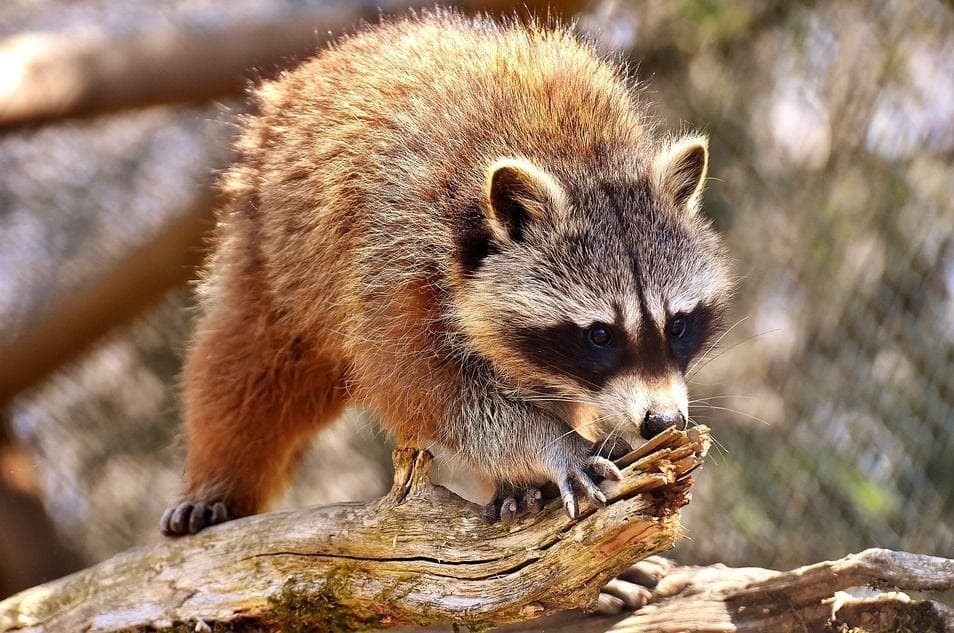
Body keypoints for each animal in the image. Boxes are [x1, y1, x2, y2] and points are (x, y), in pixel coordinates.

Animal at [160, 12, 733, 536]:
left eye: (677, 325)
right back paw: (218, 478)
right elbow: (429, 389)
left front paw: (537, 458)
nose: (663, 422)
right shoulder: (395, 251)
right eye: (599, 335)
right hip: (271, 244)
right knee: (248, 363)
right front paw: (550, 444)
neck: (581, 155)